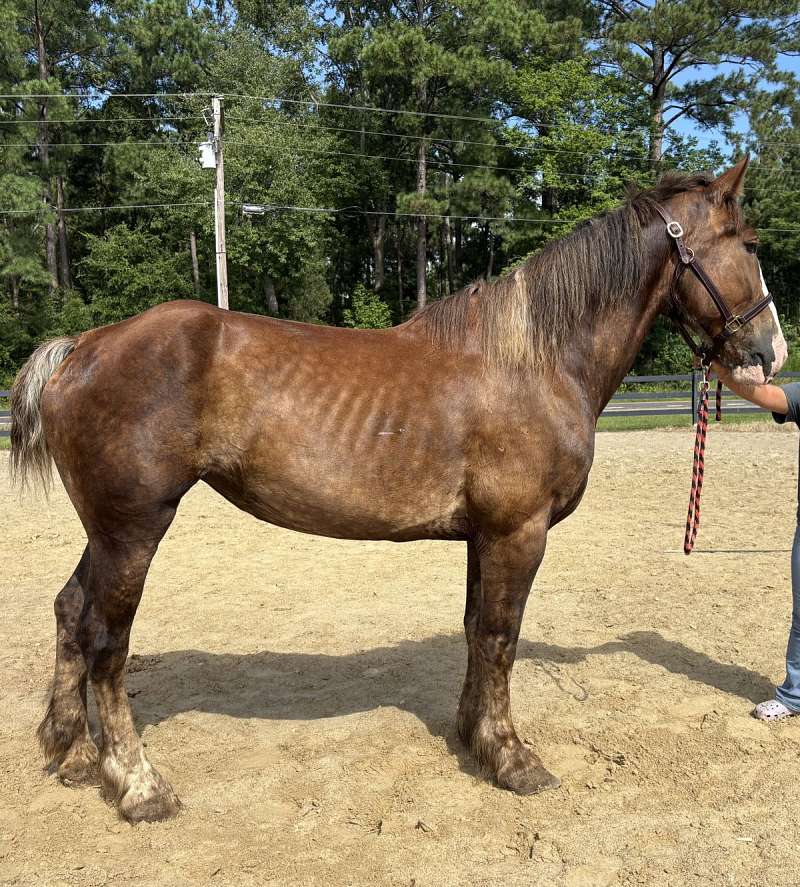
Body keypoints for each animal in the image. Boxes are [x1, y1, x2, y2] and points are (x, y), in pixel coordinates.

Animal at [10, 157, 786, 824]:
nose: (770, 352)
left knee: (70, 612)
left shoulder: (485, 535)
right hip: (134, 528)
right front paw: (513, 758)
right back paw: (138, 784)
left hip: (106, 531)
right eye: (746, 243)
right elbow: (501, 637)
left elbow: (476, 630)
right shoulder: (518, 531)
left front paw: (474, 735)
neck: (533, 359)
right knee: (106, 640)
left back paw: (72, 752)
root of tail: (83, 347)